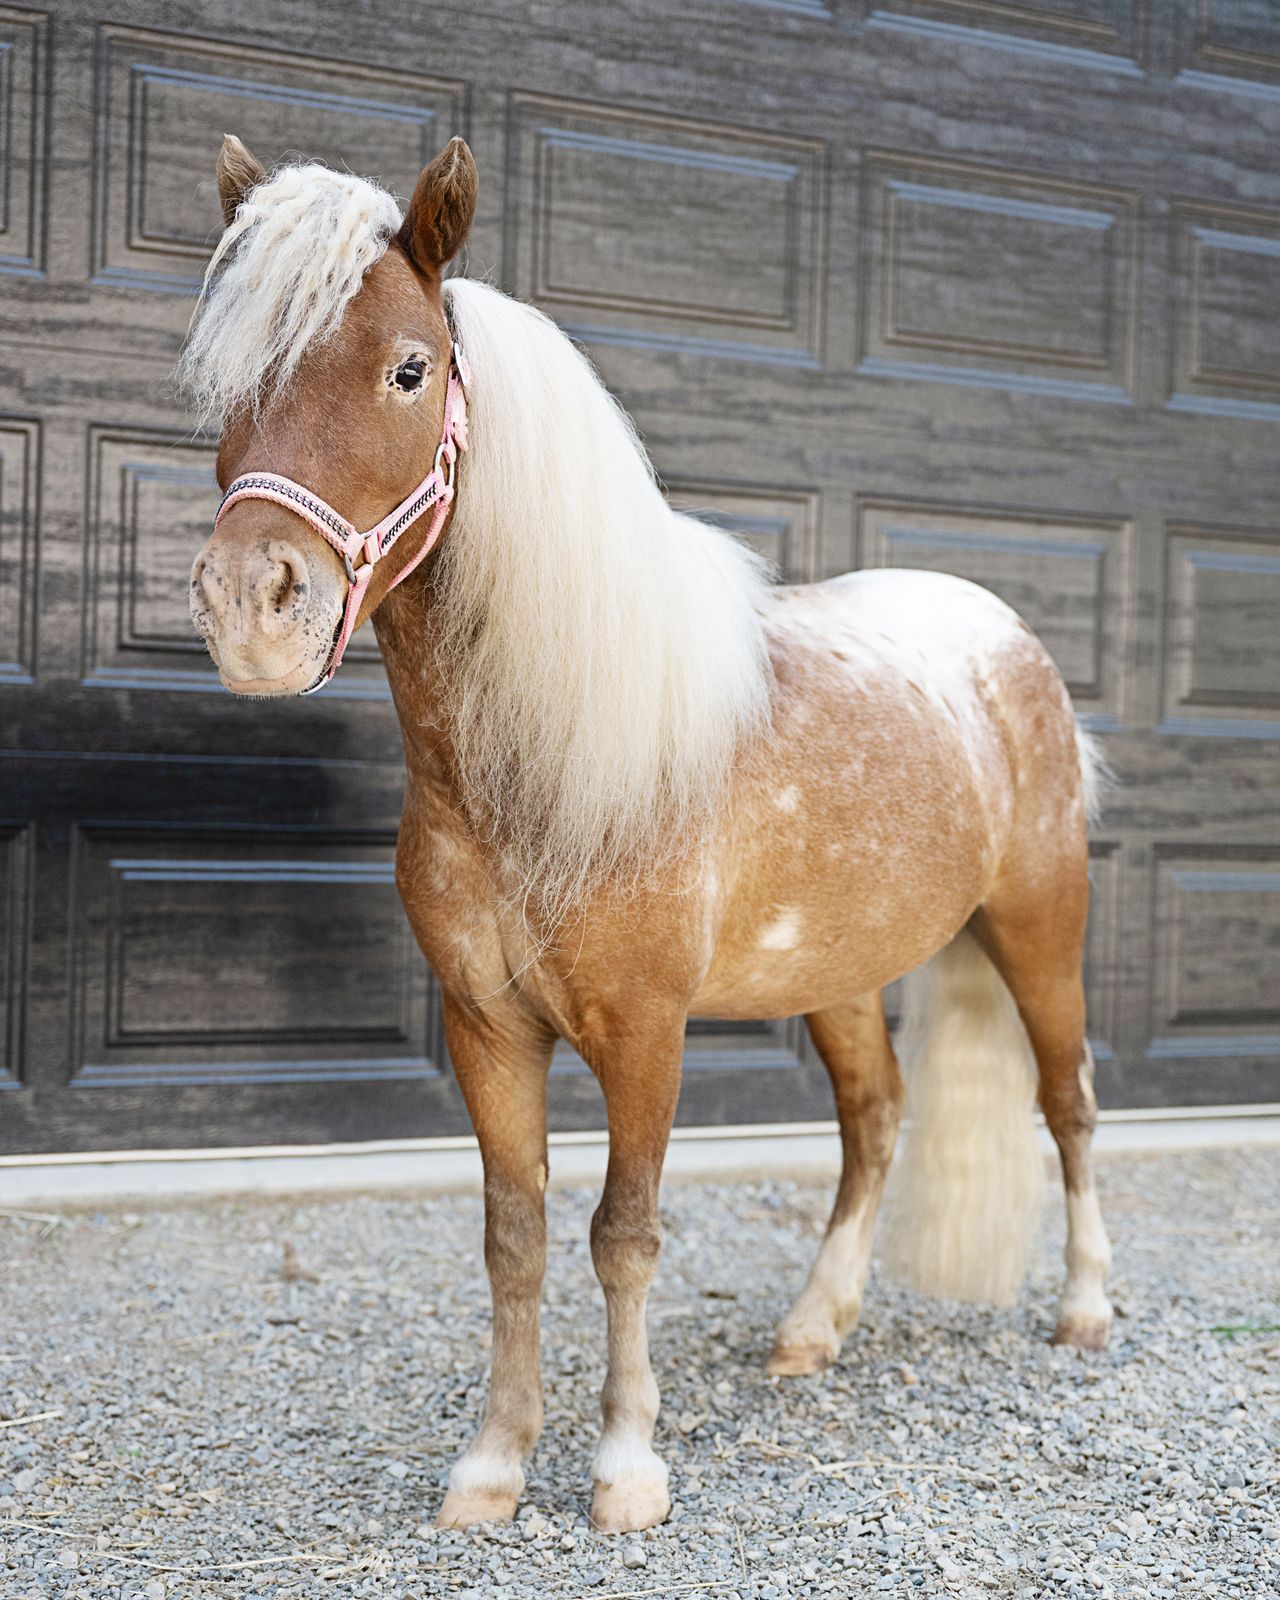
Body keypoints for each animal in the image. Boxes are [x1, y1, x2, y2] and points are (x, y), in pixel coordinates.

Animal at [184, 135, 1113, 1536]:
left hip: (1037, 923)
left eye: (408, 368)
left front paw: (625, 1469)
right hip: (837, 973)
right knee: (875, 1119)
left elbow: (622, 1233)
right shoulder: (486, 1028)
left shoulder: (643, 1028)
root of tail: (999, 634)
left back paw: (1084, 1311)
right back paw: (812, 1331)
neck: (541, 761)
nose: (253, 608)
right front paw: (492, 1466)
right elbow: (512, 1235)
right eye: (231, 368)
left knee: (1066, 1100)